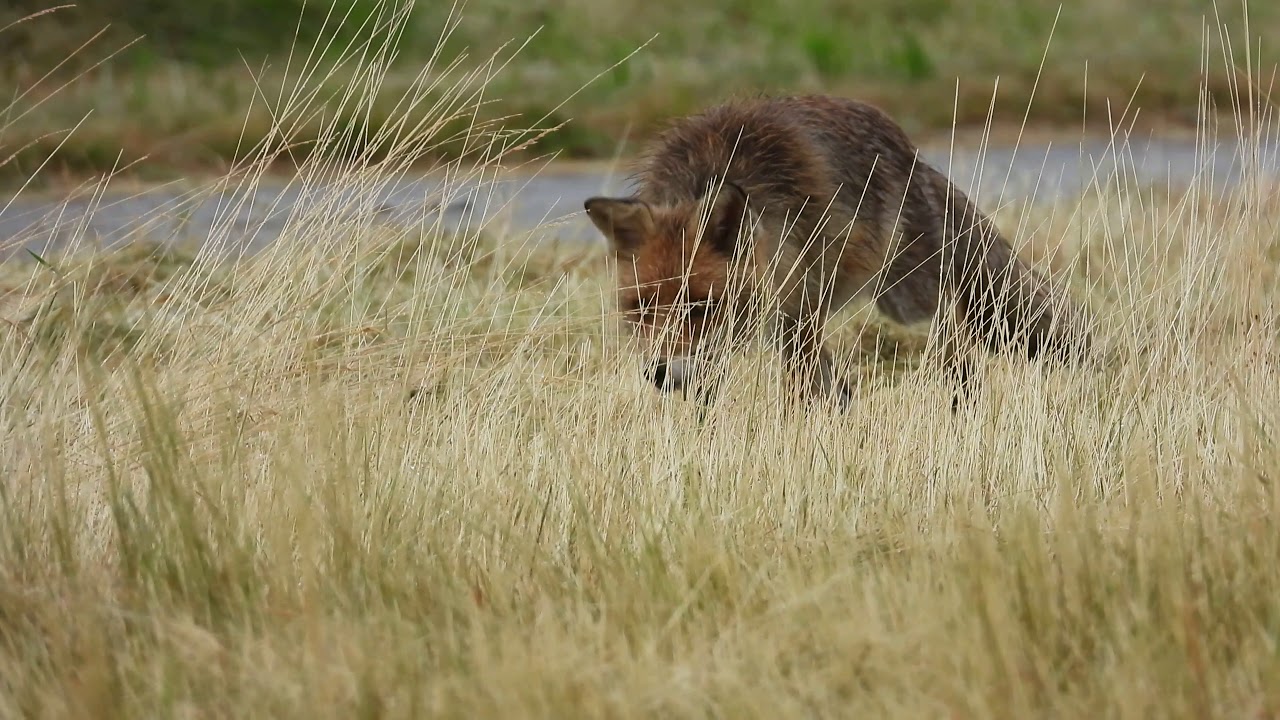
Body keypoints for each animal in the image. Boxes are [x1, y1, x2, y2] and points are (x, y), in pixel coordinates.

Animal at [583, 93, 1087, 410]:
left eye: (701, 306)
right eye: (640, 307)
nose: (660, 373)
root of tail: (909, 149)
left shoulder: (798, 315)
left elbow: (806, 395)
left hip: (909, 302)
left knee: (958, 347)